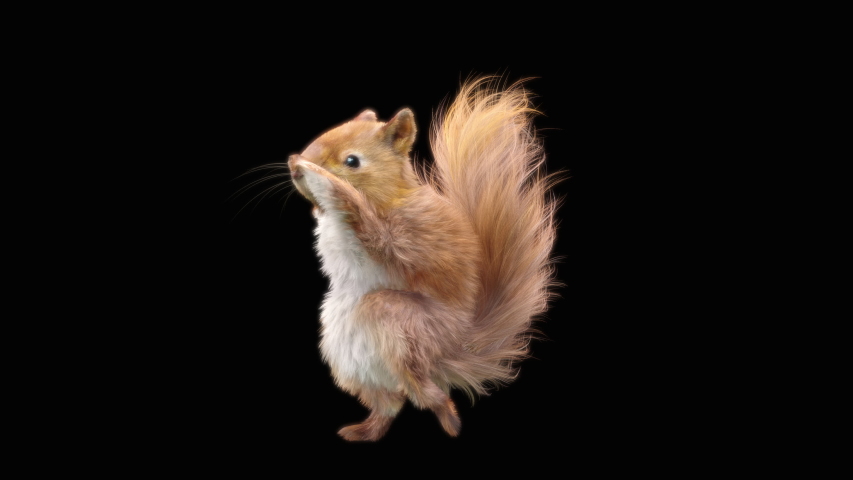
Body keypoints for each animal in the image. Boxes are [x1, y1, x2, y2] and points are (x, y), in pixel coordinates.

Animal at [287, 76, 560, 441]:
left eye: (352, 161)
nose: (295, 164)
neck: (390, 196)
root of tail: (454, 348)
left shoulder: (411, 233)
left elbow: (380, 235)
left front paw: (326, 183)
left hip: (404, 323)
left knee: (426, 392)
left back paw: (450, 421)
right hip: (349, 356)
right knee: (390, 403)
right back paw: (365, 431)